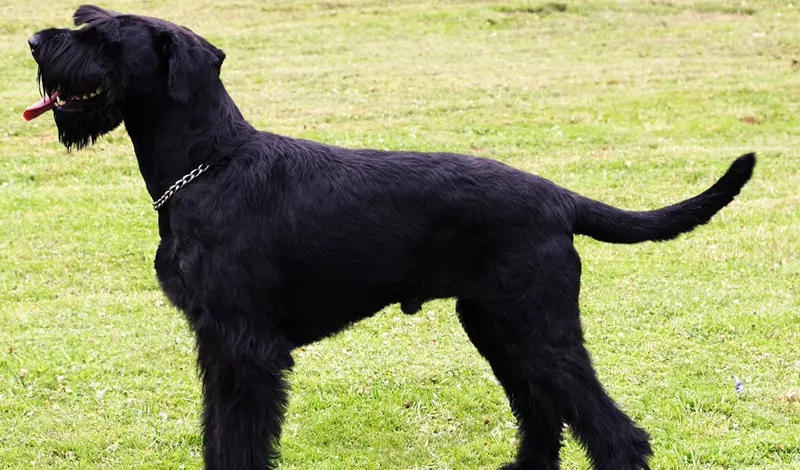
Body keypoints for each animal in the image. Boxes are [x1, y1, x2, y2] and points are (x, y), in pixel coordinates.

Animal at [21, 4, 752, 470]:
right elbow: (217, 432)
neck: (210, 164)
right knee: (543, 415)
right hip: (496, 328)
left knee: (612, 431)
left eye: (106, 40)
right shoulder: (215, 343)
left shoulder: (244, 345)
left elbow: (240, 438)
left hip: (536, 327)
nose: (33, 40)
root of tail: (558, 197)